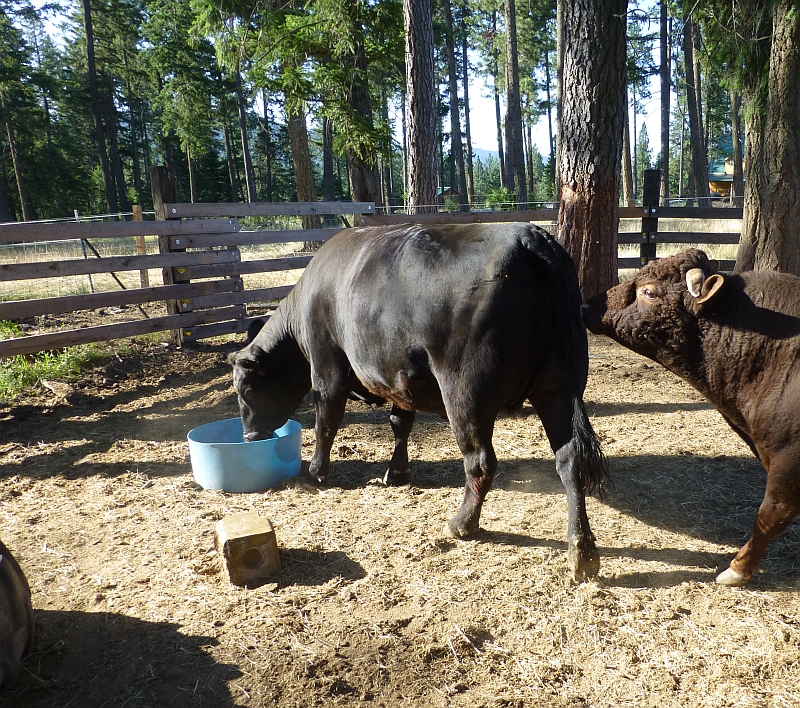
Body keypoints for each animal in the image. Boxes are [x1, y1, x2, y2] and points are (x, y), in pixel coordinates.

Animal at [228, 223, 608, 581]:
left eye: (246, 390)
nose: (248, 437)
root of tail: (530, 237)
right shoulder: (398, 377)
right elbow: (400, 422)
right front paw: (396, 471)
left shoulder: (327, 370)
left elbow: (327, 422)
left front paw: (316, 473)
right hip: (559, 387)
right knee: (570, 458)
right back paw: (582, 553)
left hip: (465, 394)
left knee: (480, 462)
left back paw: (462, 524)